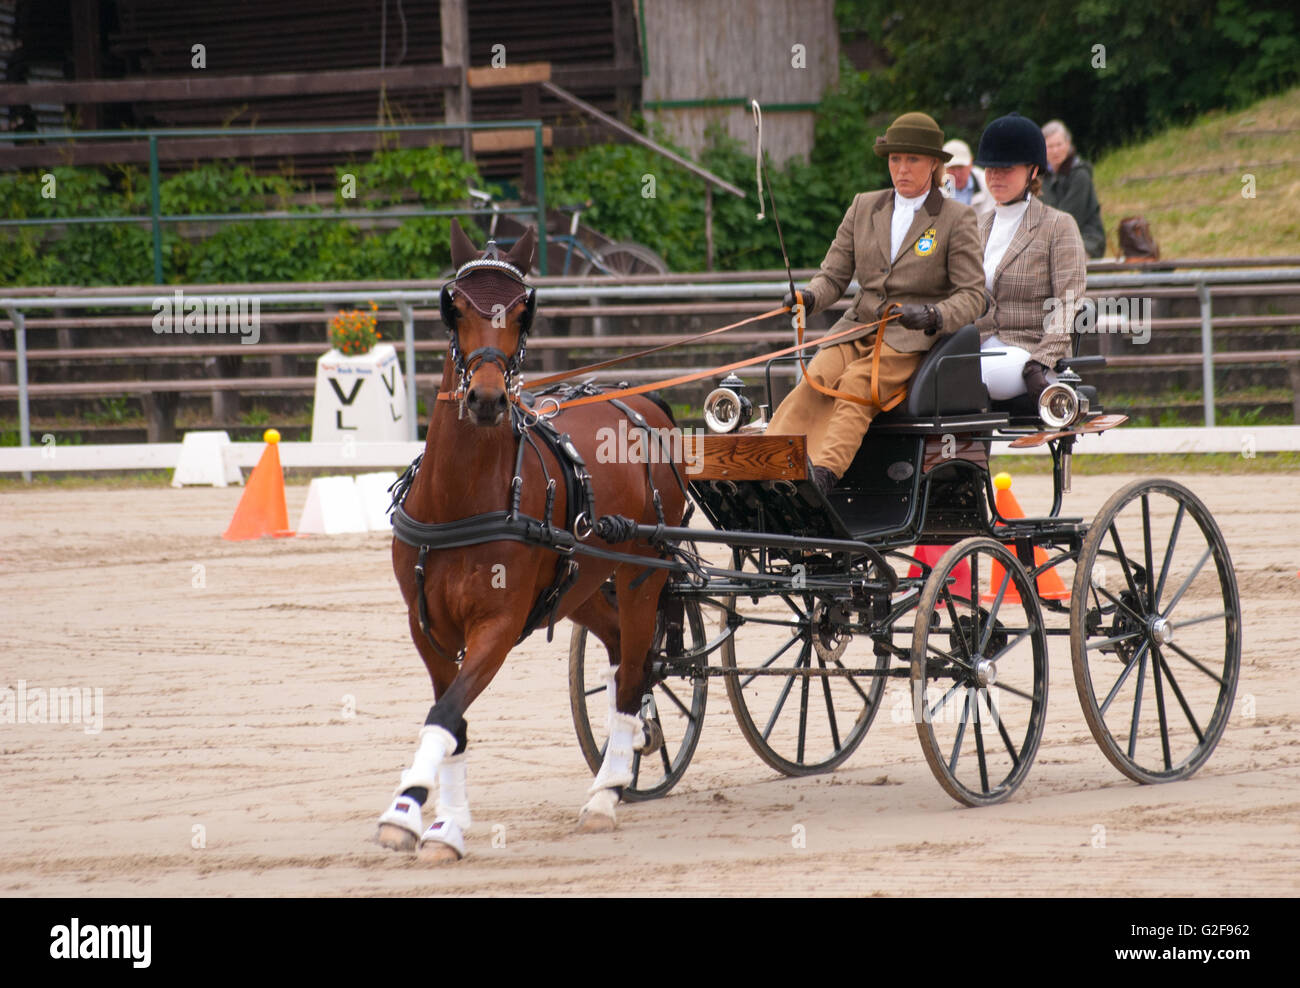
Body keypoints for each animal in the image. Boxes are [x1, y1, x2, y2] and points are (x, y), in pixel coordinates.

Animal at [375, 220, 688, 862]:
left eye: (524, 311)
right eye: (453, 307)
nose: (487, 399)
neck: (461, 499)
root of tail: (643, 401)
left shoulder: (496, 625)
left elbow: (446, 711)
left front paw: (408, 808)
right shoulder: (427, 628)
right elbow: (454, 724)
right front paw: (439, 821)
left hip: (642, 573)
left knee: (635, 669)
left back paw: (605, 794)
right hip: (580, 584)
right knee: (621, 651)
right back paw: (624, 760)